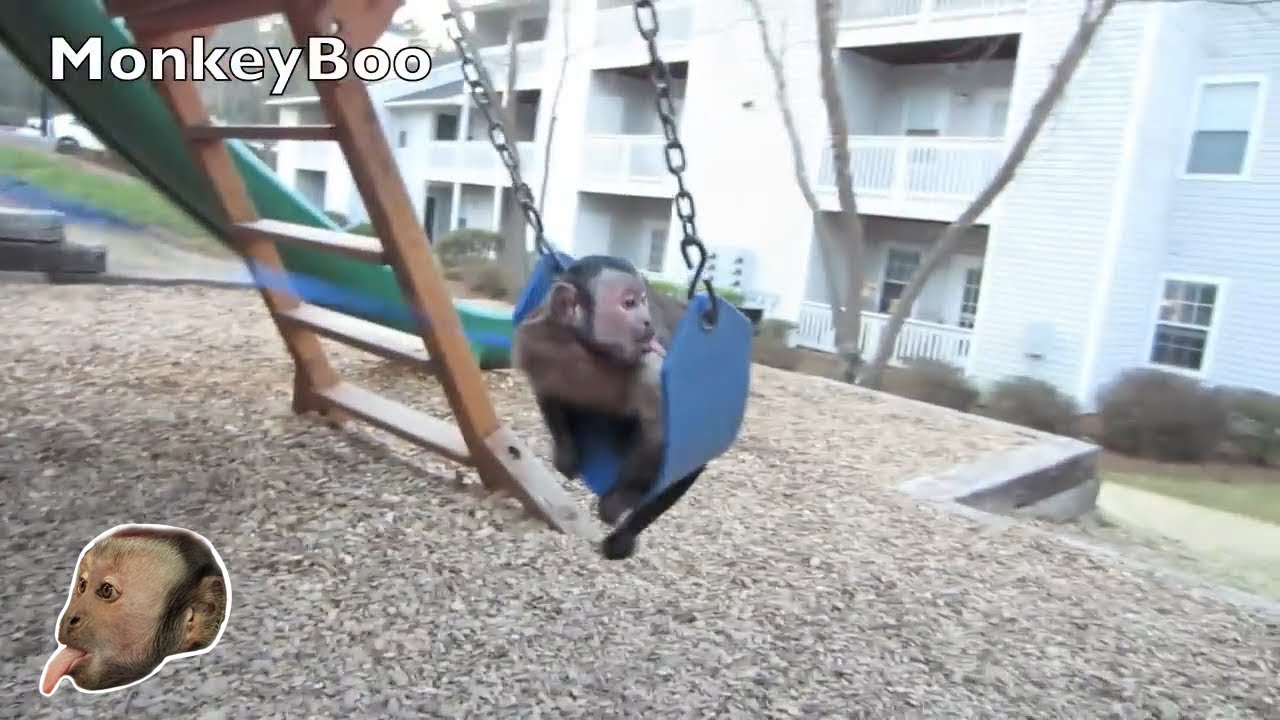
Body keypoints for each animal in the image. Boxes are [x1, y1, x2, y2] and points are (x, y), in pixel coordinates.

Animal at [512, 255, 686, 530]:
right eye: (629, 303)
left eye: (643, 301)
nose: (647, 320)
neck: (590, 350)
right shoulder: (537, 340)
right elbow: (548, 392)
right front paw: (567, 454)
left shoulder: (651, 367)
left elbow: (658, 430)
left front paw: (619, 498)